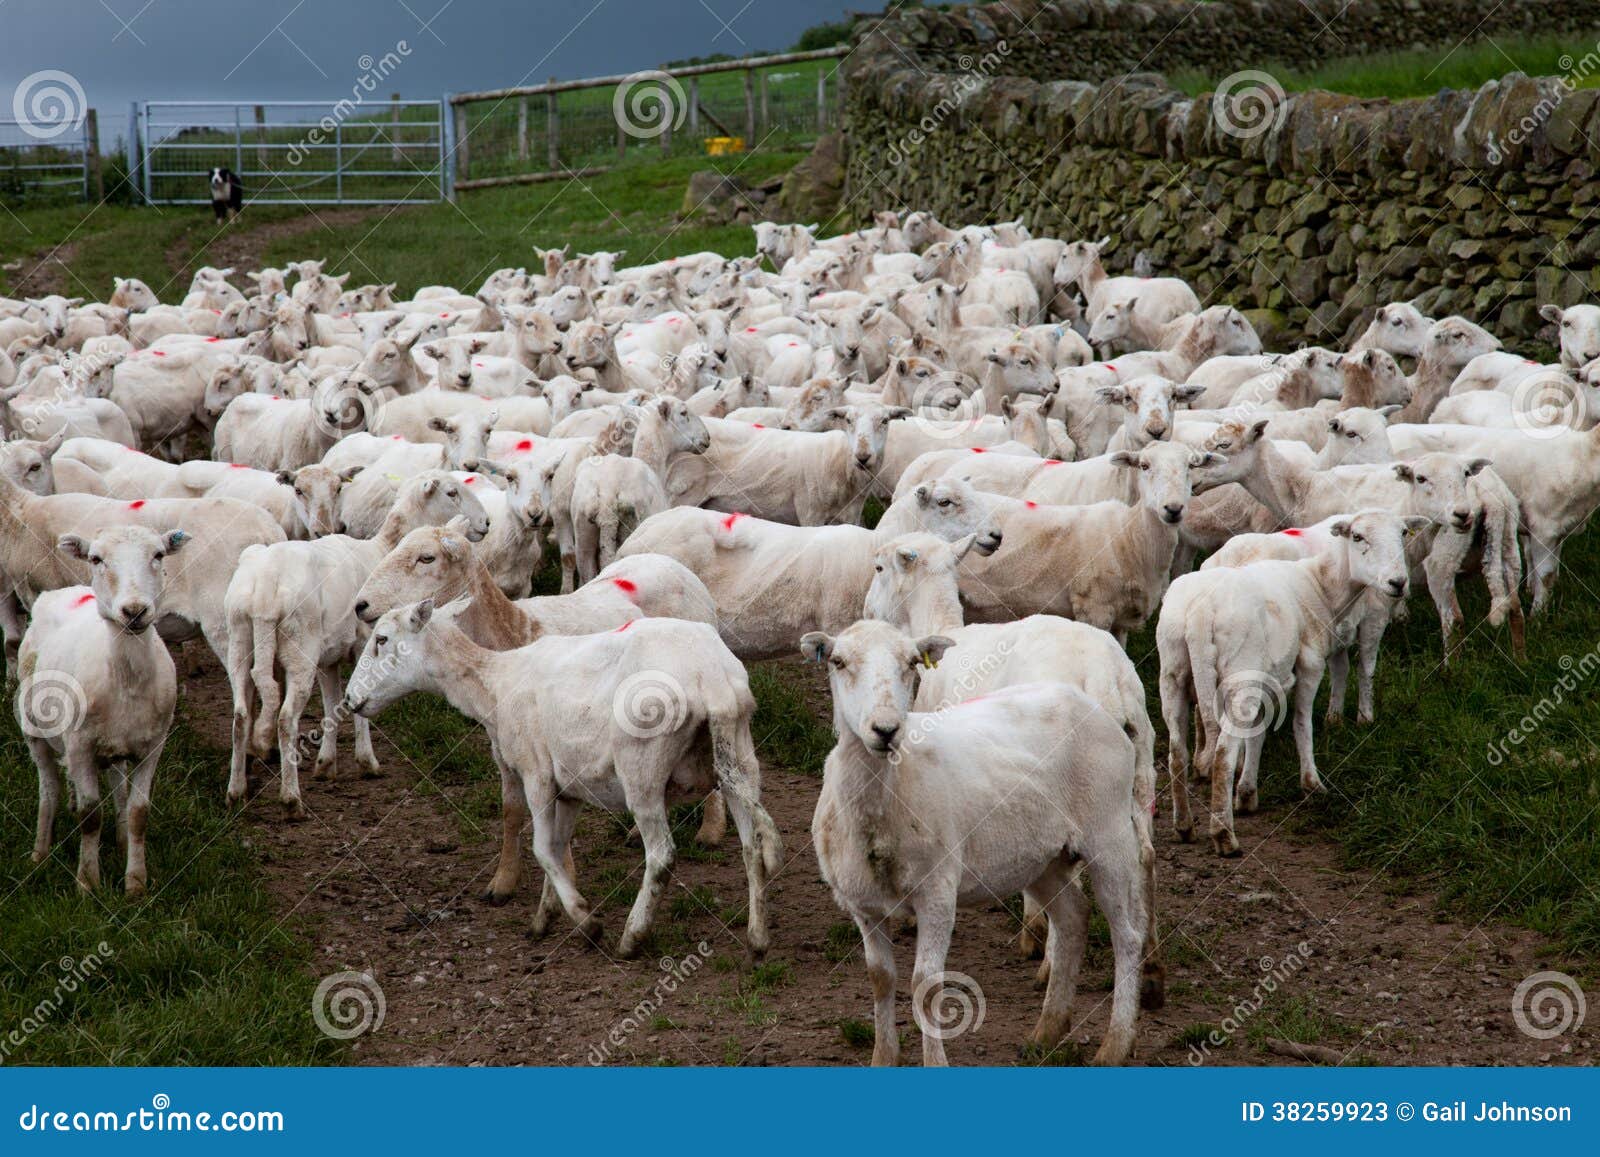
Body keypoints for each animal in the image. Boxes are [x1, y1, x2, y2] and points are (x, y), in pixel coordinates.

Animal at [17, 526, 188, 894]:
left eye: (159, 555)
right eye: (96, 559)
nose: (135, 611)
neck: (126, 681)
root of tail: (67, 590)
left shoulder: (153, 746)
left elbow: (139, 813)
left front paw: (136, 883)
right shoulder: (80, 747)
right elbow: (90, 815)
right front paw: (87, 883)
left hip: (116, 746)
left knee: (117, 784)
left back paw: (121, 840)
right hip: (32, 730)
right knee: (48, 788)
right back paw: (40, 852)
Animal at [221, 472, 491, 819]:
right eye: (452, 492)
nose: (486, 522)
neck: (381, 549)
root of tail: (264, 592)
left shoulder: (328, 658)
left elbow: (333, 703)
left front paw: (326, 764)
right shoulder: (365, 642)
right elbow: (357, 703)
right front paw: (367, 761)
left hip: (239, 641)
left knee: (240, 716)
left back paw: (235, 791)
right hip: (299, 650)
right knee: (285, 719)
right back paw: (291, 798)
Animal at [344, 598, 782, 958]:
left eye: (381, 639)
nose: (349, 700)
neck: (493, 684)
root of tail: (711, 679)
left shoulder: (536, 773)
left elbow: (542, 849)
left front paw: (586, 921)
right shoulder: (569, 787)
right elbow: (557, 846)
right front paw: (545, 917)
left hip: (641, 769)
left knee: (661, 855)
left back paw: (633, 936)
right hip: (738, 755)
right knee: (752, 845)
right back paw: (758, 938)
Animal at [801, 619, 1149, 1065]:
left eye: (912, 663)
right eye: (839, 662)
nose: (886, 730)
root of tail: (1095, 701)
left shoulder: (937, 892)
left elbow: (925, 985)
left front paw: (935, 1063)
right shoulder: (863, 904)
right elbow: (880, 979)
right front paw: (884, 1057)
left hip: (1109, 834)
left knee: (1128, 936)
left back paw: (1116, 1044)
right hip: (1042, 857)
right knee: (1073, 918)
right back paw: (1047, 1031)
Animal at [1158, 510, 1423, 854]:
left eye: (1404, 533)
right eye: (1357, 537)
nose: (1398, 583)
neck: (1321, 583)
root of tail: (1201, 614)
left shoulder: (1269, 676)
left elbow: (1257, 734)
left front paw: (1247, 793)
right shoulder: (1309, 662)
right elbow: (1301, 721)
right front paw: (1312, 783)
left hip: (1174, 674)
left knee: (1177, 754)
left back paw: (1185, 827)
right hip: (1238, 676)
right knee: (1221, 756)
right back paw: (1224, 836)